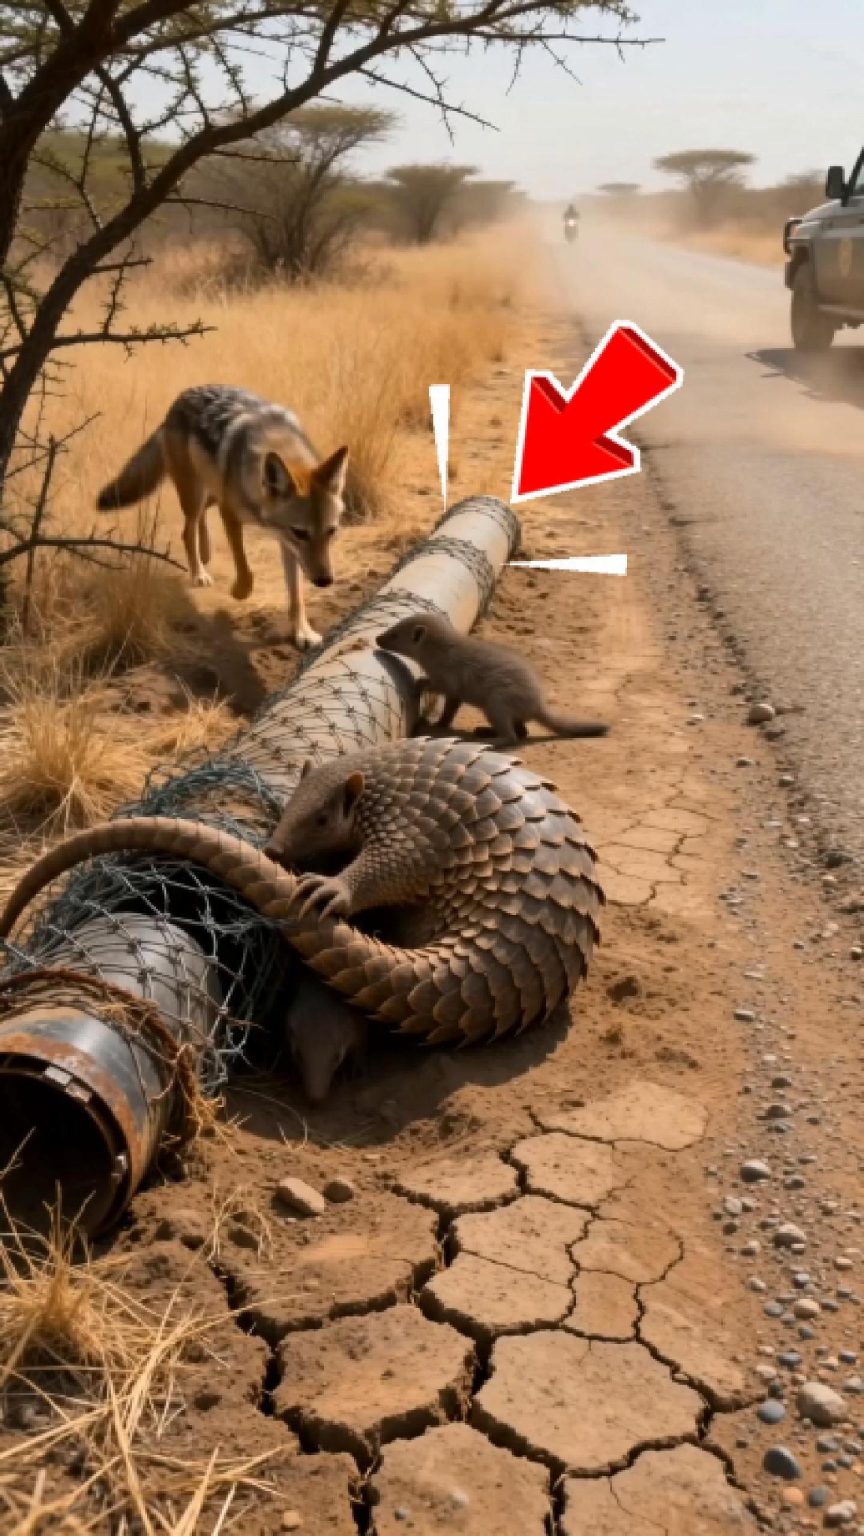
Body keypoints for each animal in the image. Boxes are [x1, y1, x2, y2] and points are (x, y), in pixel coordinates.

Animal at [97, 385, 349, 649]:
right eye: (301, 532)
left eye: (331, 531)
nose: (325, 581)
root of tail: (181, 398)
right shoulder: (231, 515)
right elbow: (246, 573)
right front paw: (238, 592)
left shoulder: (285, 542)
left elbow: (296, 595)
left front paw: (303, 632)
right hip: (195, 496)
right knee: (187, 531)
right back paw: (199, 573)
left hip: (209, 493)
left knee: (200, 521)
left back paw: (205, 551)